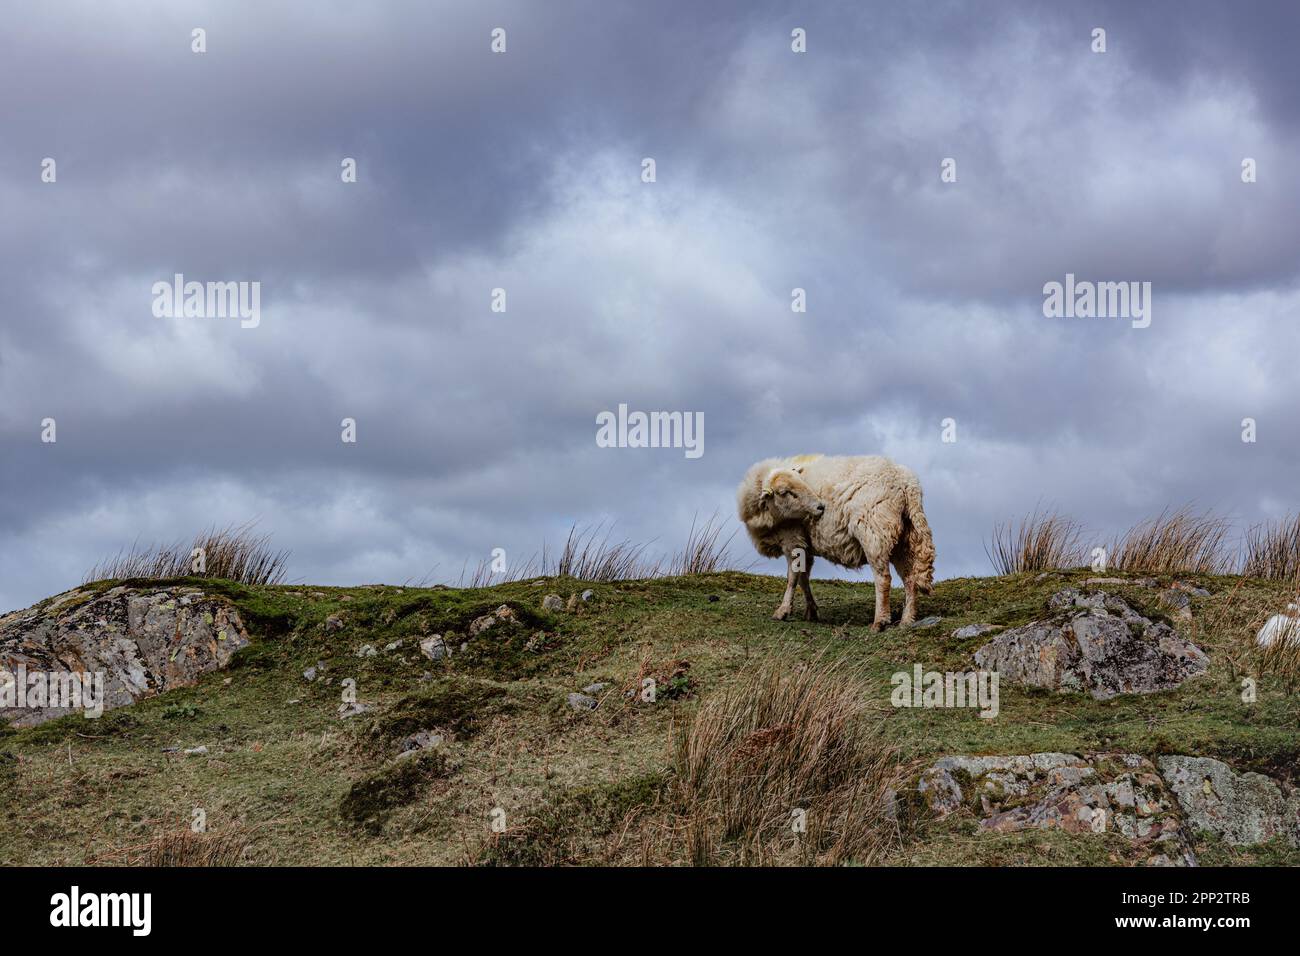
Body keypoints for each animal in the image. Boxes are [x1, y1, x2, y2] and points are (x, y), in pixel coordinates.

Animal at [736, 454, 935, 630]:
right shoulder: (806, 545)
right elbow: (804, 578)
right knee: (910, 579)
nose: (820, 507)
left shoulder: (793, 537)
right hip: (904, 538)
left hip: (873, 531)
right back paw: (907, 620)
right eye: (785, 493)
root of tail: (907, 482)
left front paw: (783, 611)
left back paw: (880, 621)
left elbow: (793, 577)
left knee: (883, 578)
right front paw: (811, 611)